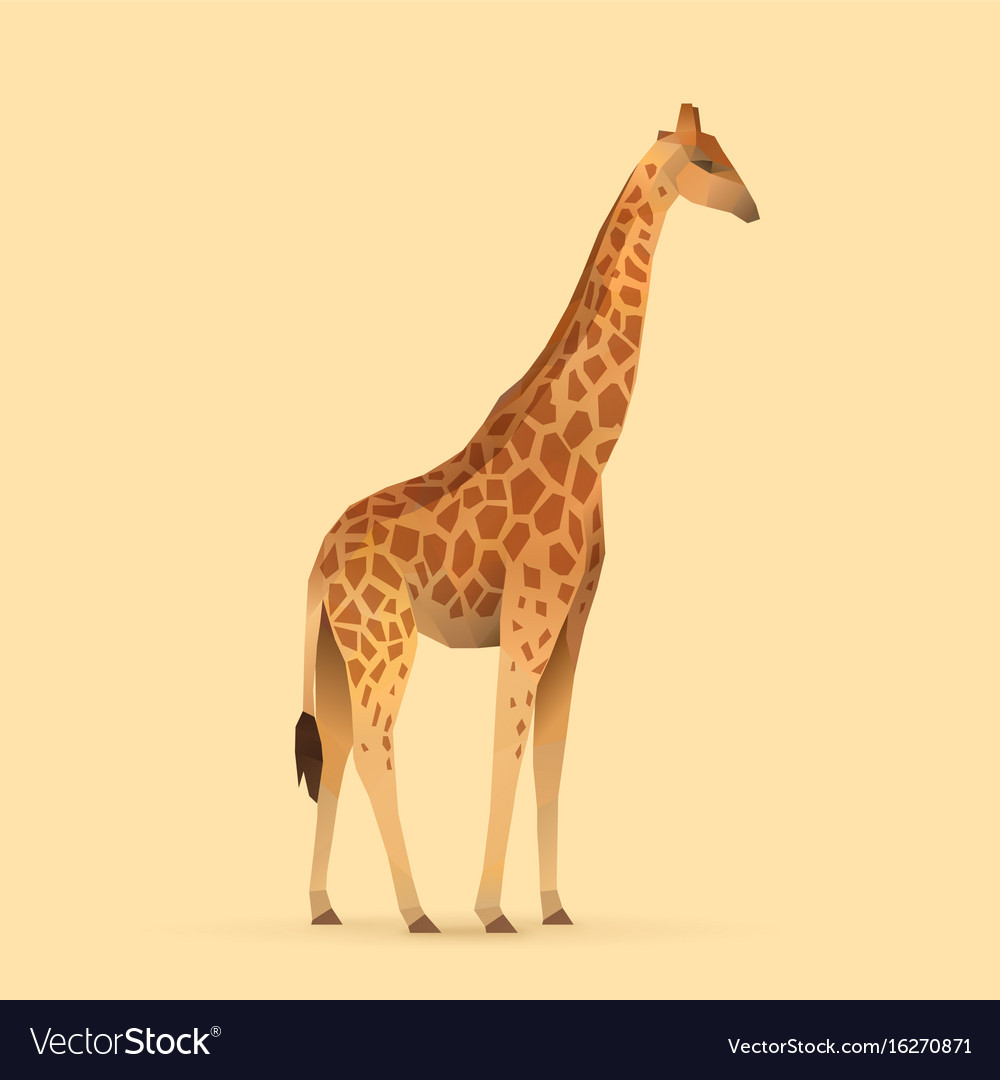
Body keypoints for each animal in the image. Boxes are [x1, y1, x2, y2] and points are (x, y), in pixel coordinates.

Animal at [295, 104, 758, 933]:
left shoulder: (574, 621)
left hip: (339, 650)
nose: (753, 208)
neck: (589, 446)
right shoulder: (530, 615)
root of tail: (316, 562)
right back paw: (417, 913)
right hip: (385, 642)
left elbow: (552, 753)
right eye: (707, 161)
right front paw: (491, 911)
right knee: (377, 744)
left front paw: (555, 906)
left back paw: (324, 908)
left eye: (726, 152)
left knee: (339, 744)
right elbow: (505, 749)